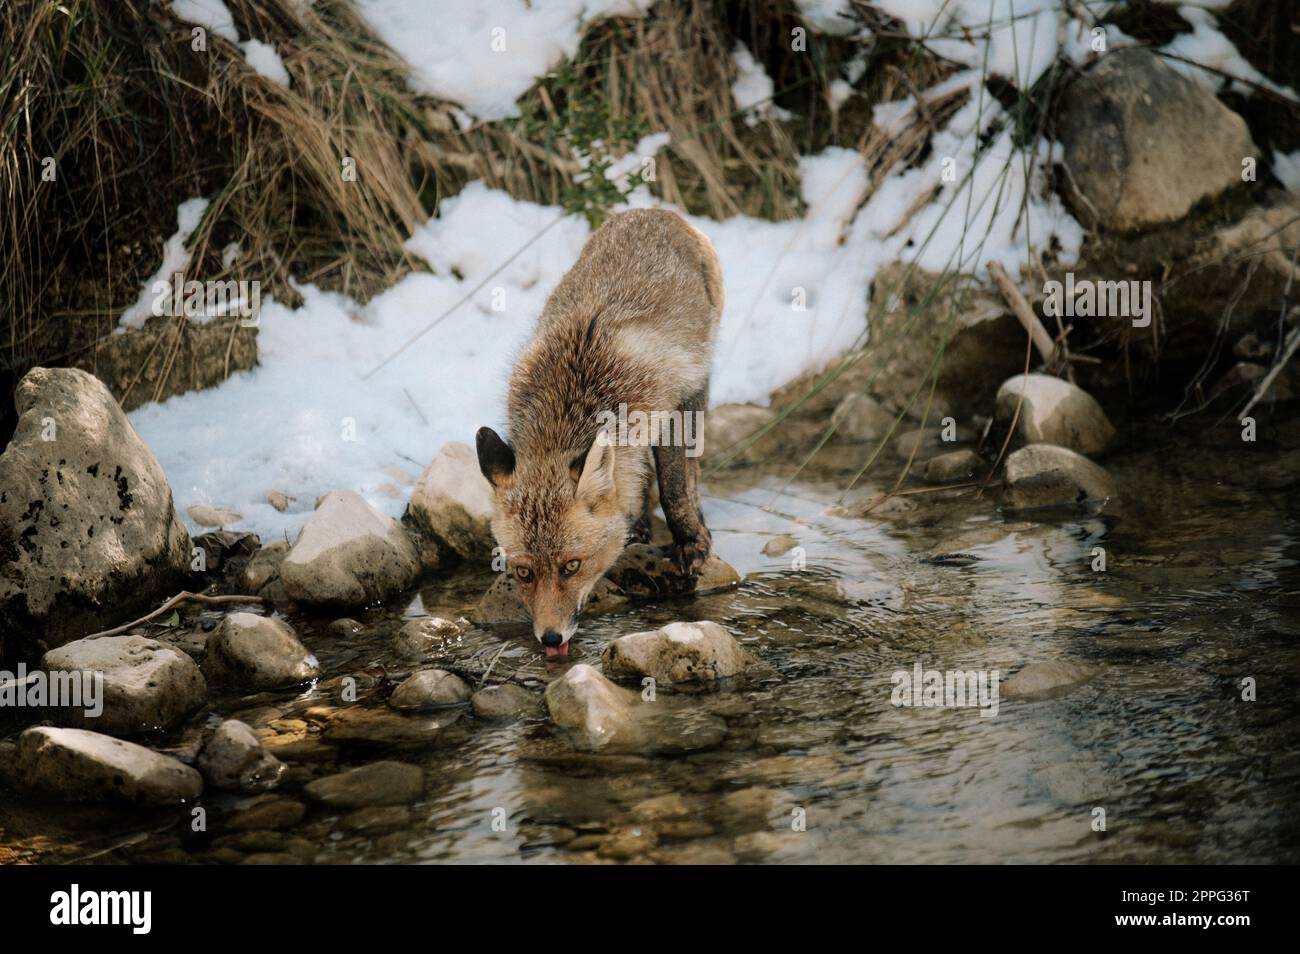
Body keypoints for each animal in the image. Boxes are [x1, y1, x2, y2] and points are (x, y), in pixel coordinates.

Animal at [475, 208, 725, 657]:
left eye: (571, 566)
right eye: (524, 573)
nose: (550, 638)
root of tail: (651, 211)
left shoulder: (669, 409)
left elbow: (674, 487)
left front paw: (690, 542)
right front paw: (636, 526)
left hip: (699, 383)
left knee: (689, 470)